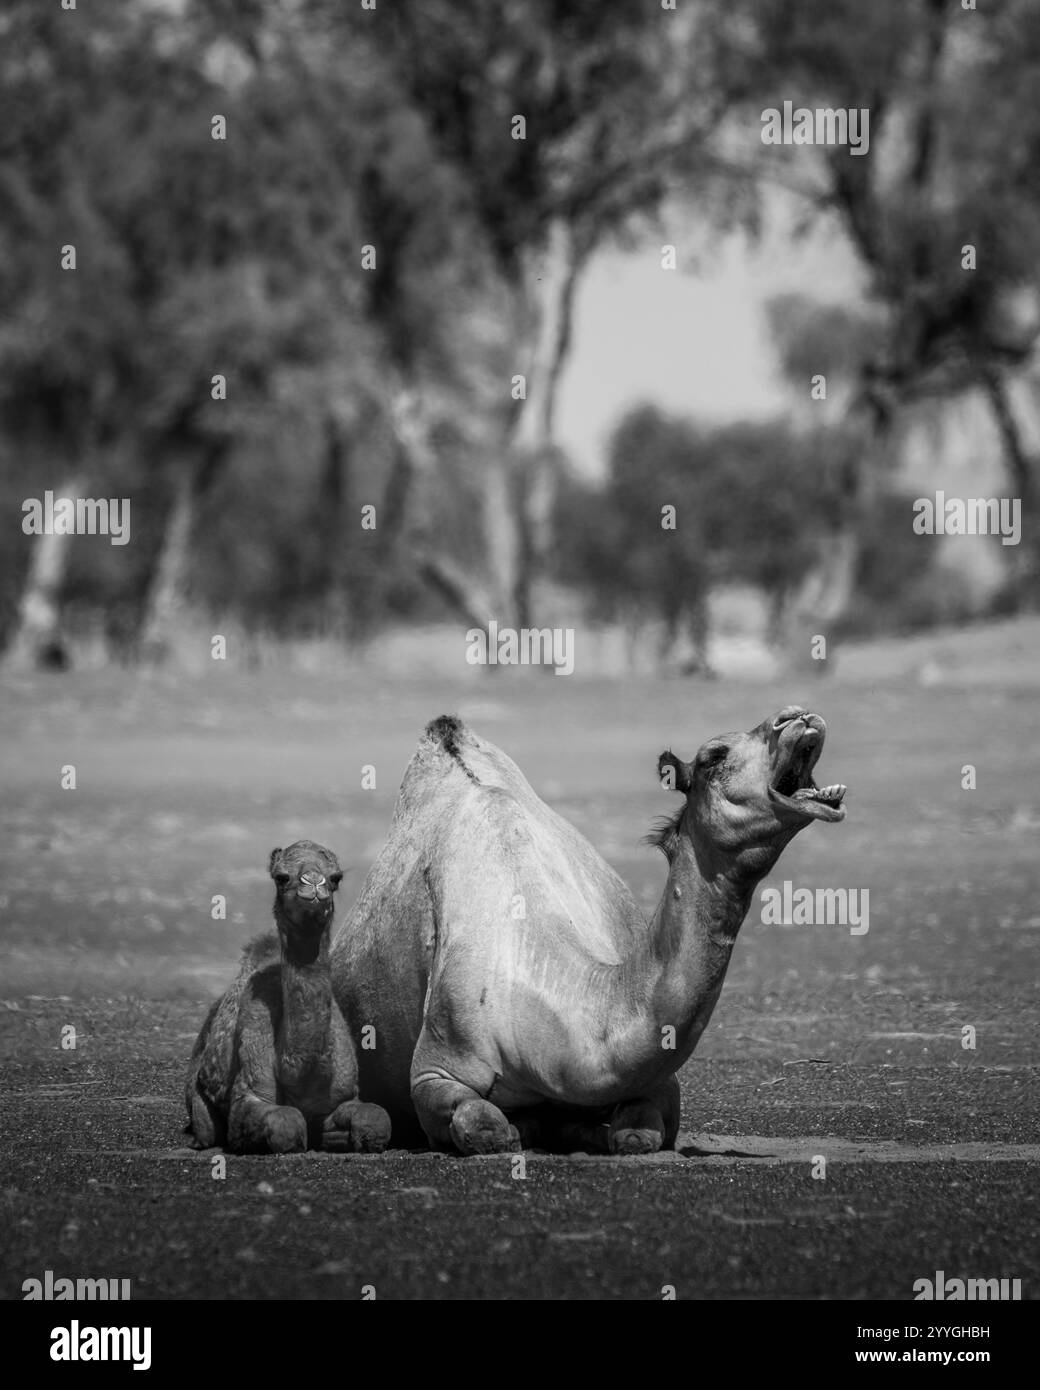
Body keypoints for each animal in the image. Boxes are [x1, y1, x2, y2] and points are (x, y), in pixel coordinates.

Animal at [186, 840, 391, 1154]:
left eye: (336, 878)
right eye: (281, 877)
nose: (314, 883)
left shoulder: (342, 1096)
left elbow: (376, 1120)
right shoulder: (251, 1093)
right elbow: (285, 1124)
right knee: (207, 1128)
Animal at [331, 706, 846, 1155]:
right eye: (713, 756)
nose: (796, 716)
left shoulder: (658, 1081)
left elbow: (640, 1133)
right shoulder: (437, 1069)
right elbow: (483, 1128)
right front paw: (519, 1129)